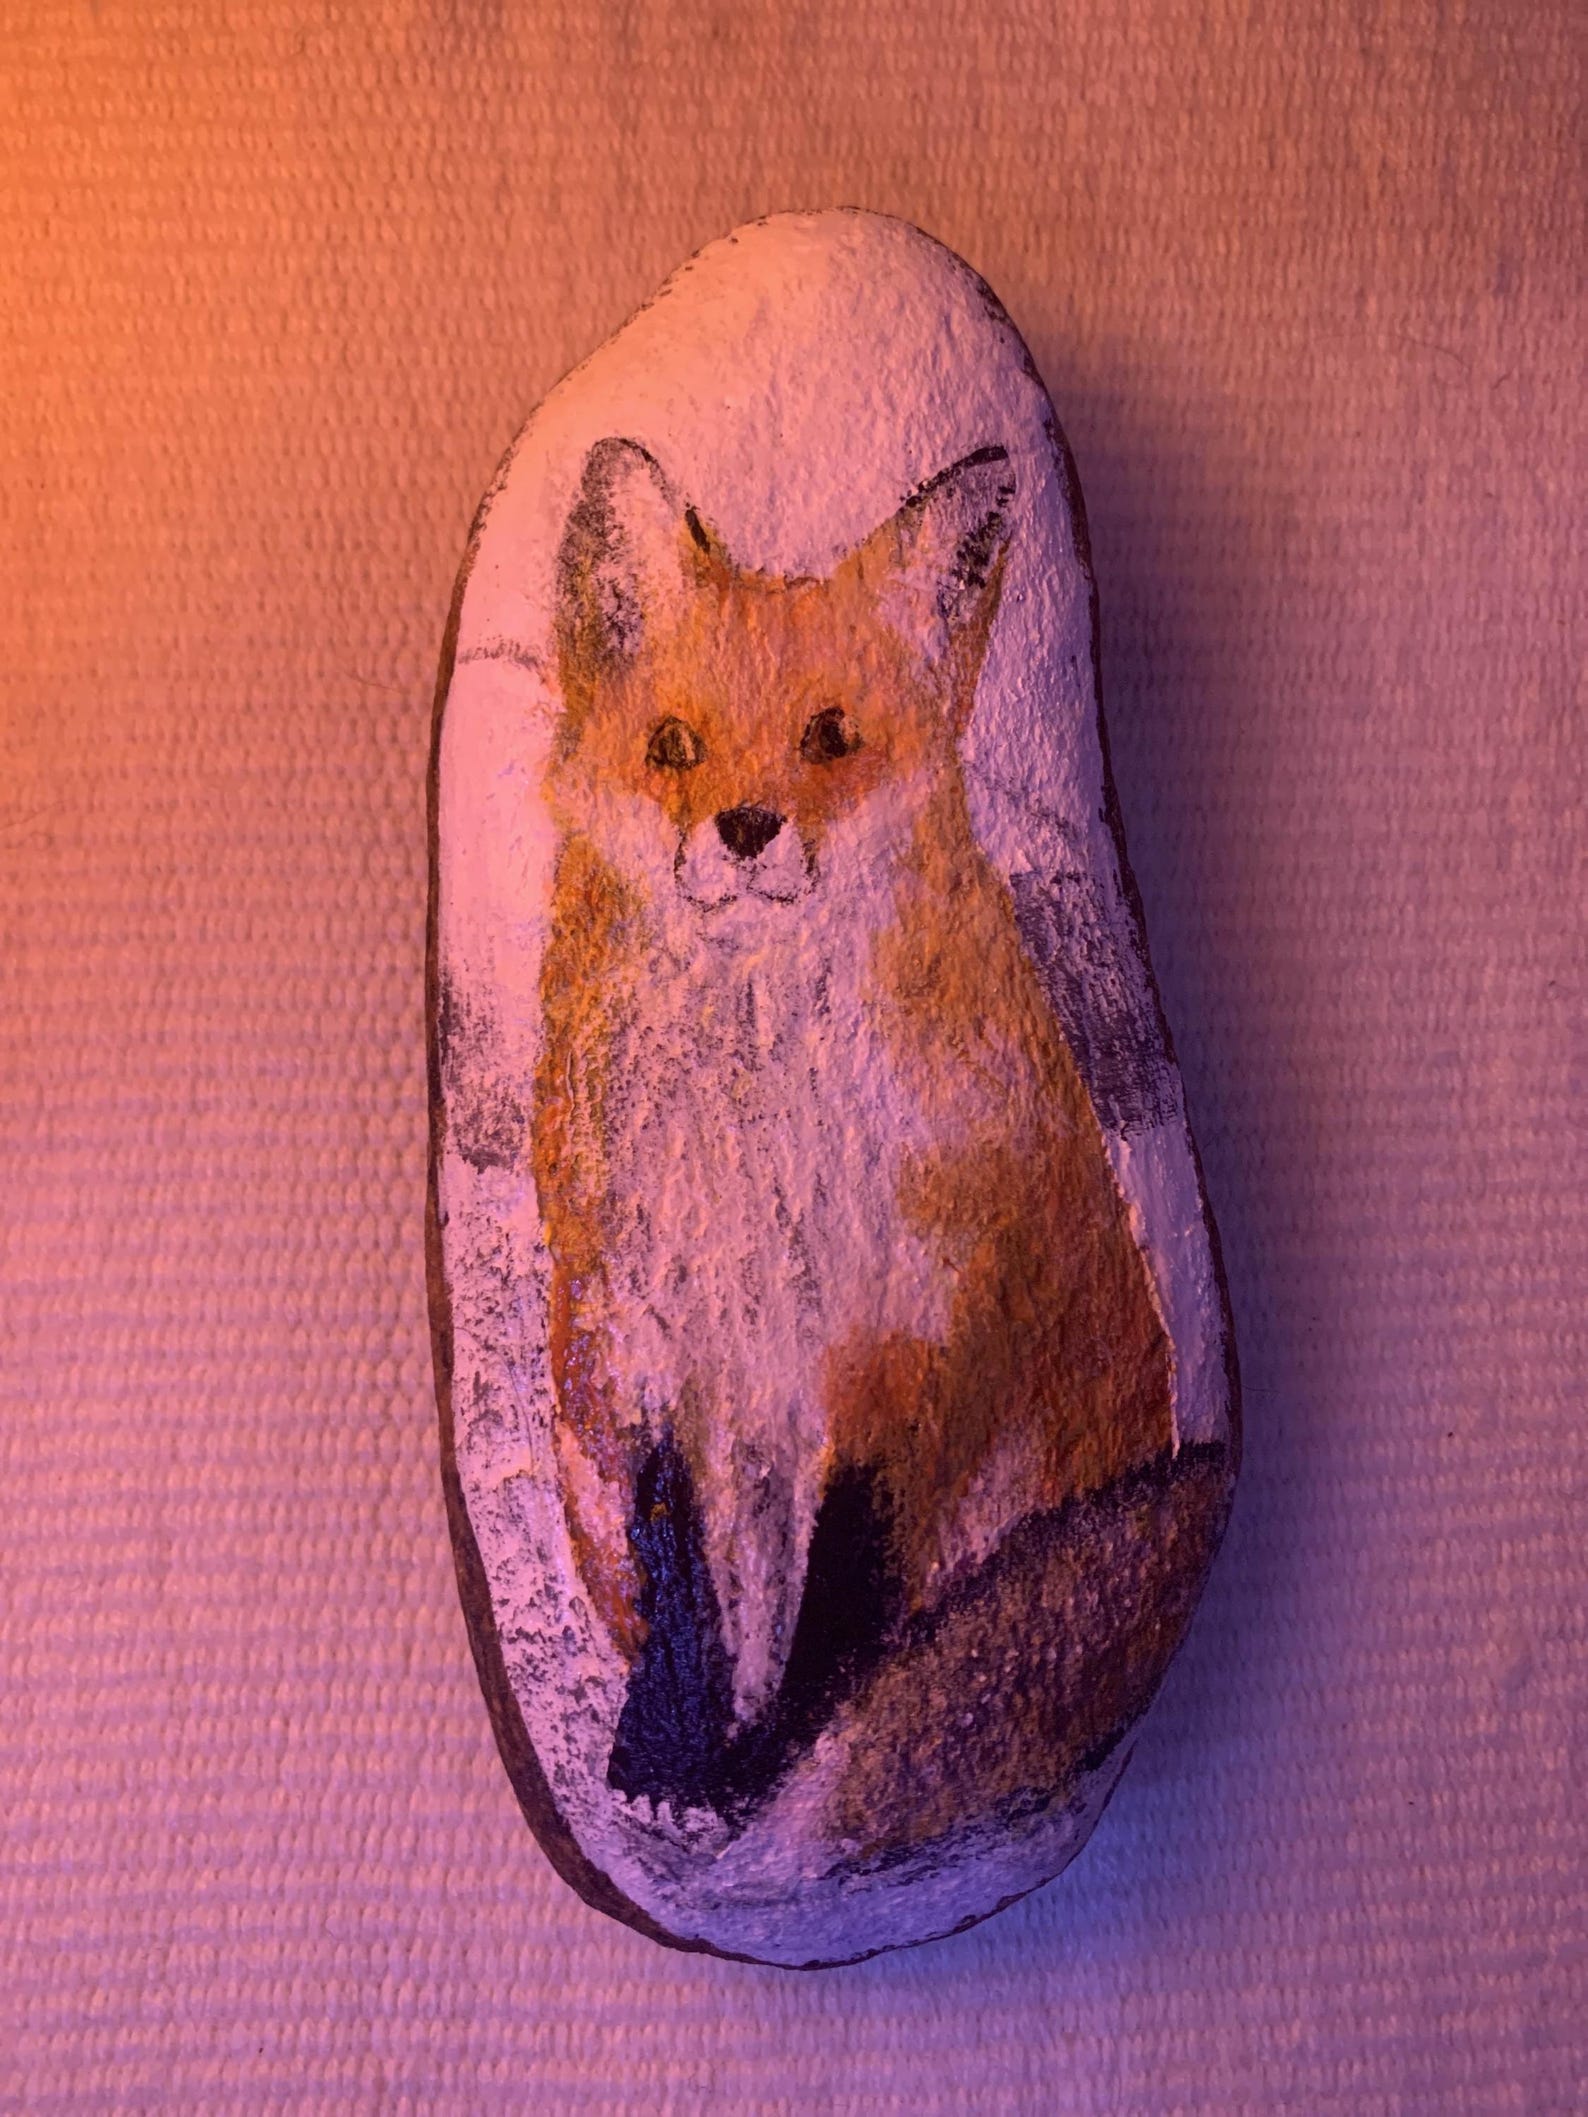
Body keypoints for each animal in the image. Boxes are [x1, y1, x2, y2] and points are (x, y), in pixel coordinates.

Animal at [531, 435, 1175, 1822]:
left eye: (829, 736)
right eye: (674, 744)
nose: (743, 828)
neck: (763, 1139)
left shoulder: (909, 1343)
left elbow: (847, 1593)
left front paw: (765, 1766)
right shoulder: (658, 1341)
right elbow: (681, 1580)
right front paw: (670, 1758)